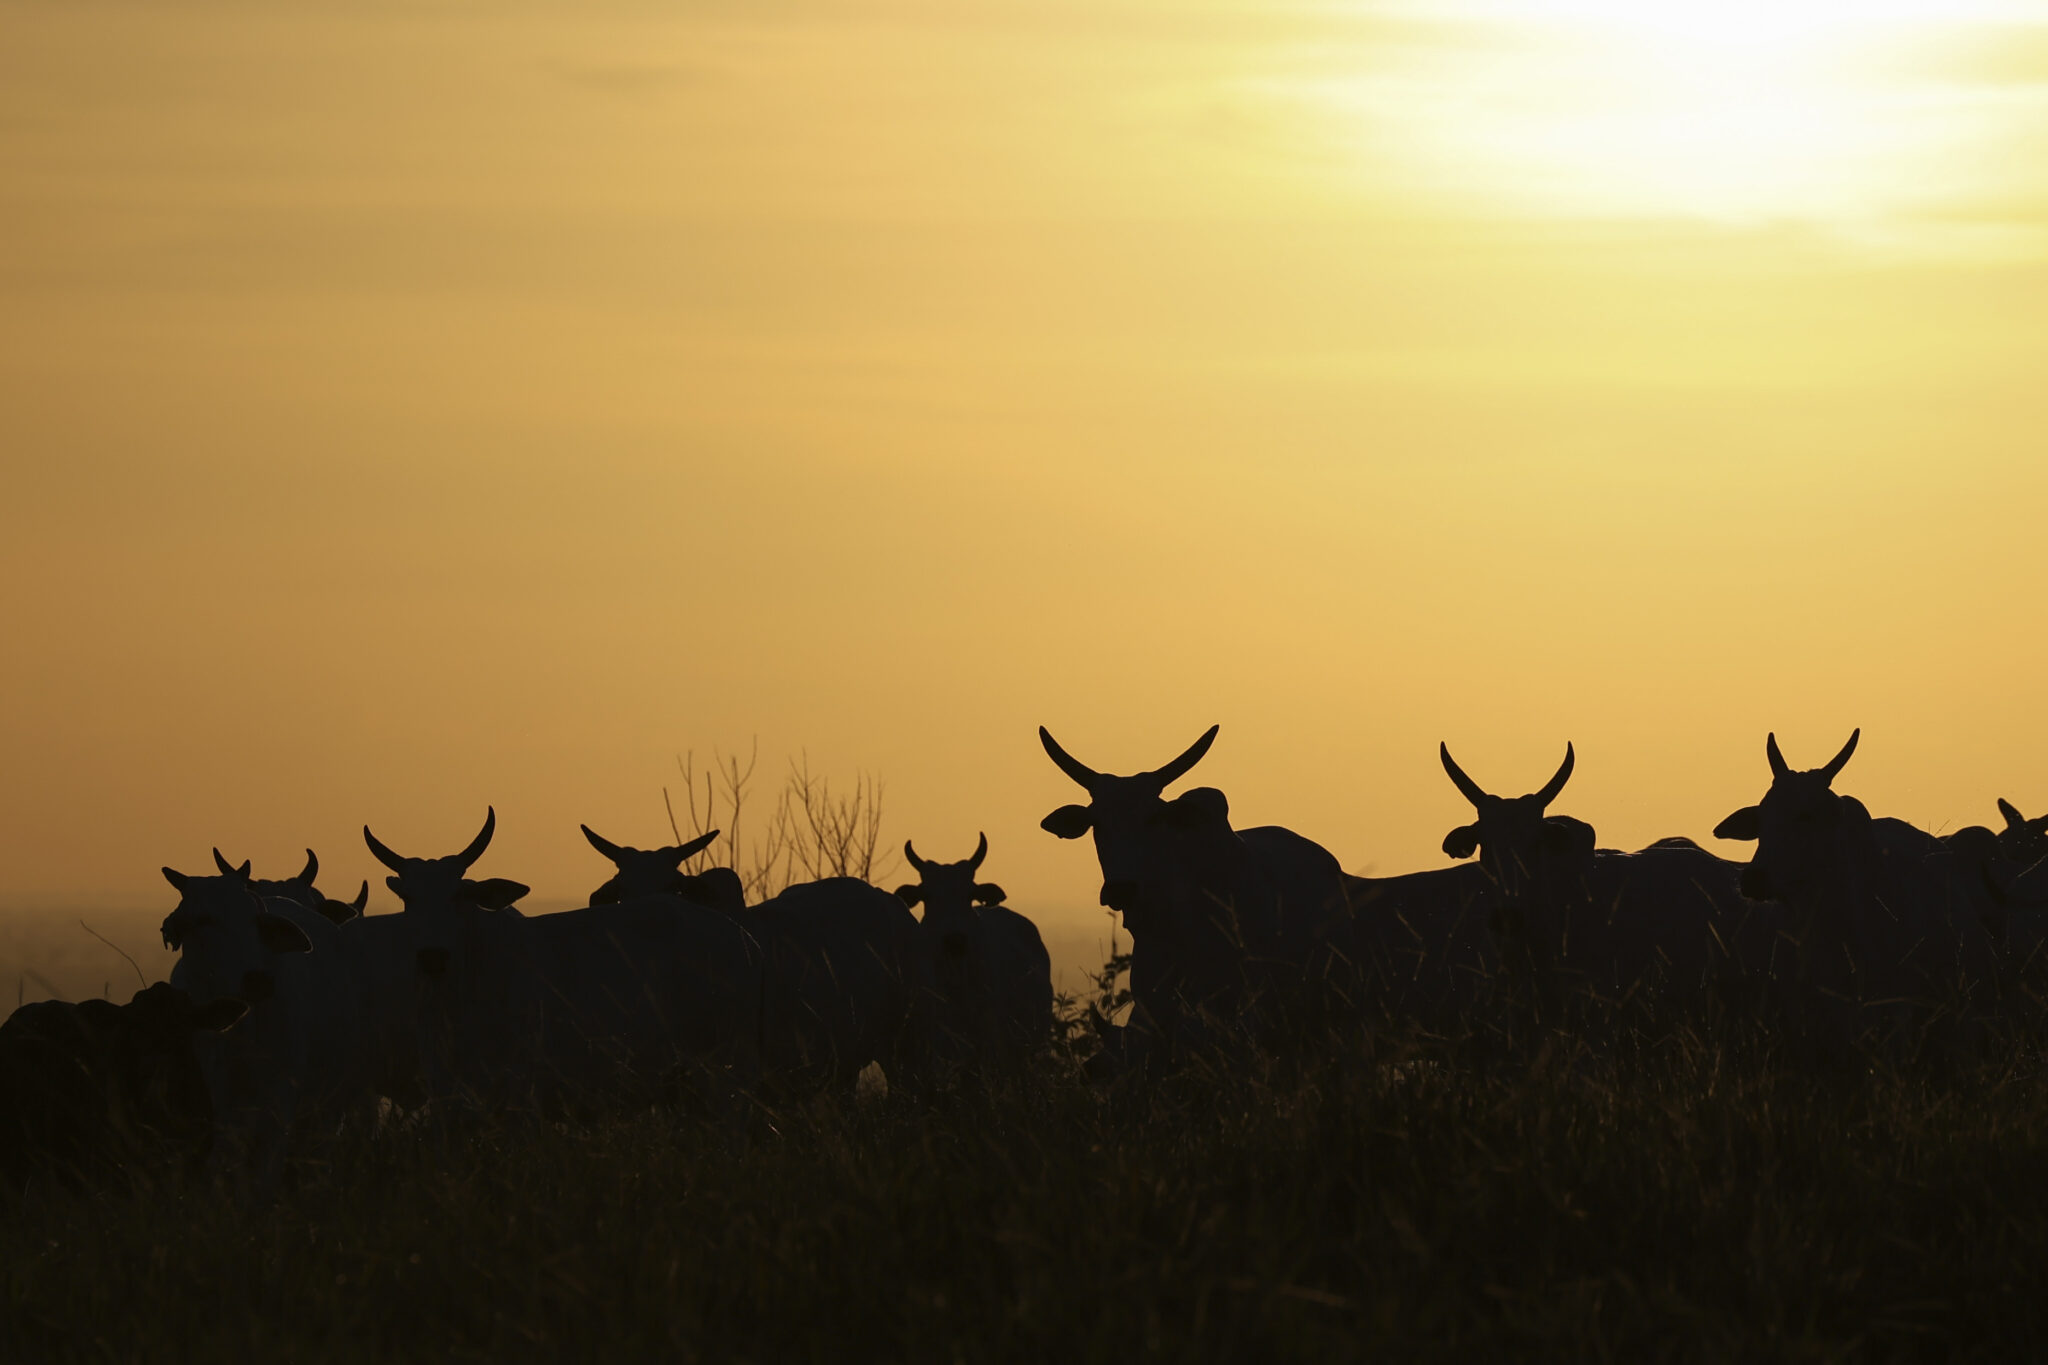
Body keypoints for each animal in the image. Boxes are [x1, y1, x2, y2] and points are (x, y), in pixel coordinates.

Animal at [364, 810, 762, 1121]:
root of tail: (740, 937)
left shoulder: (520, 1097)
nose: (432, 956)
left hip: (723, 1072)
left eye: (460, 894)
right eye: (407, 898)